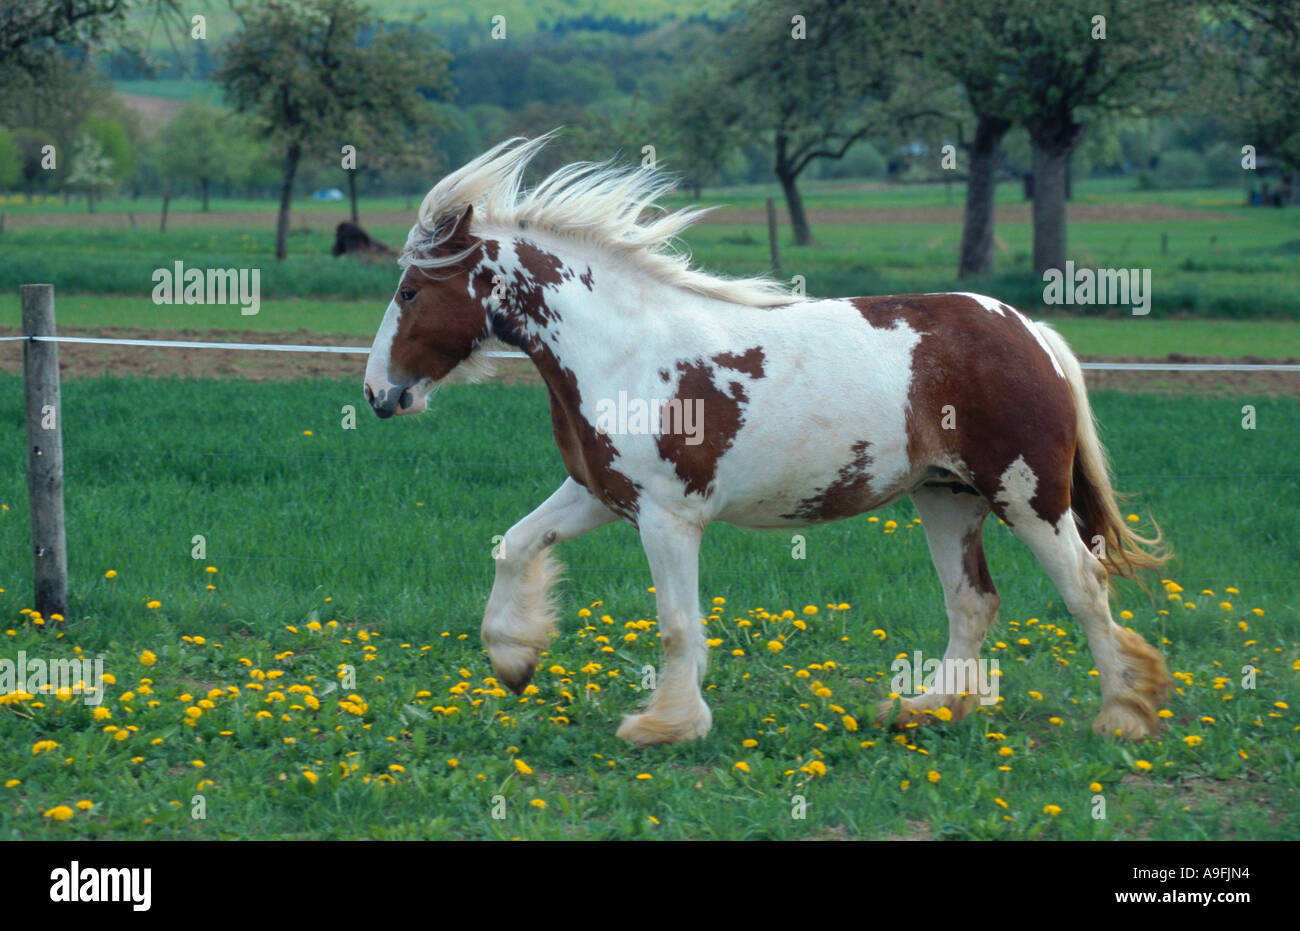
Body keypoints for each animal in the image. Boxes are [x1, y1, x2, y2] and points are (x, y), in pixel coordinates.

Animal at [363, 134, 1172, 746]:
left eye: (410, 290)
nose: (378, 394)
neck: (624, 351)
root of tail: (1030, 330)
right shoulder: (600, 493)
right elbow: (515, 543)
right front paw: (513, 657)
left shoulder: (668, 517)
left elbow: (676, 624)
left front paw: (666, 724)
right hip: (946, 497)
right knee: (972, 602)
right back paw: (926, 710)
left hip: (1027, 494)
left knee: (1085, 588)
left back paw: (1122, 716)